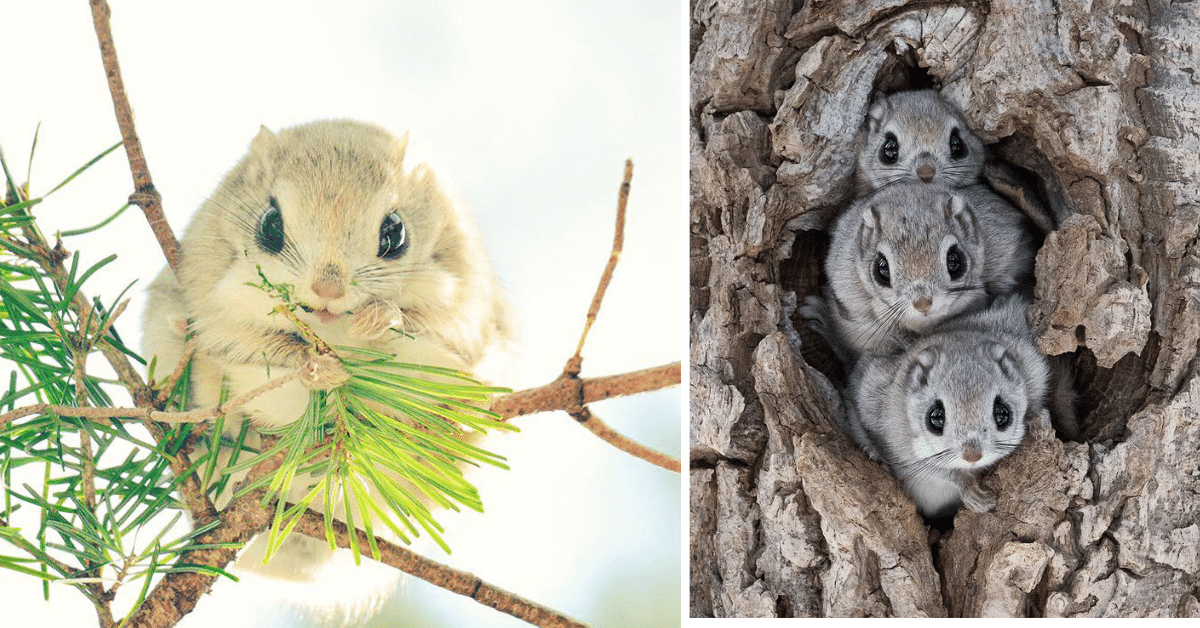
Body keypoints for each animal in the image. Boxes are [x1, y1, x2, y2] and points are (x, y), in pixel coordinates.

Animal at [142, 119, 514, 581]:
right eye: (270, 225)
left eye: (395, 232)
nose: (328, 290)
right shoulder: (214, 307)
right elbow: (259, 346)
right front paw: (318, 368)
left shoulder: (463, 316)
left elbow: (419, 327)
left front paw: (378, 320)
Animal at [844, 294, 1050, 518]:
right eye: (935, 418)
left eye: (1002, 413)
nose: (972, 456)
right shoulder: (896, 441)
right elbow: (945, 471)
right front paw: (975, 495)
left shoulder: (1030, 363)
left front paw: (1039, 423)